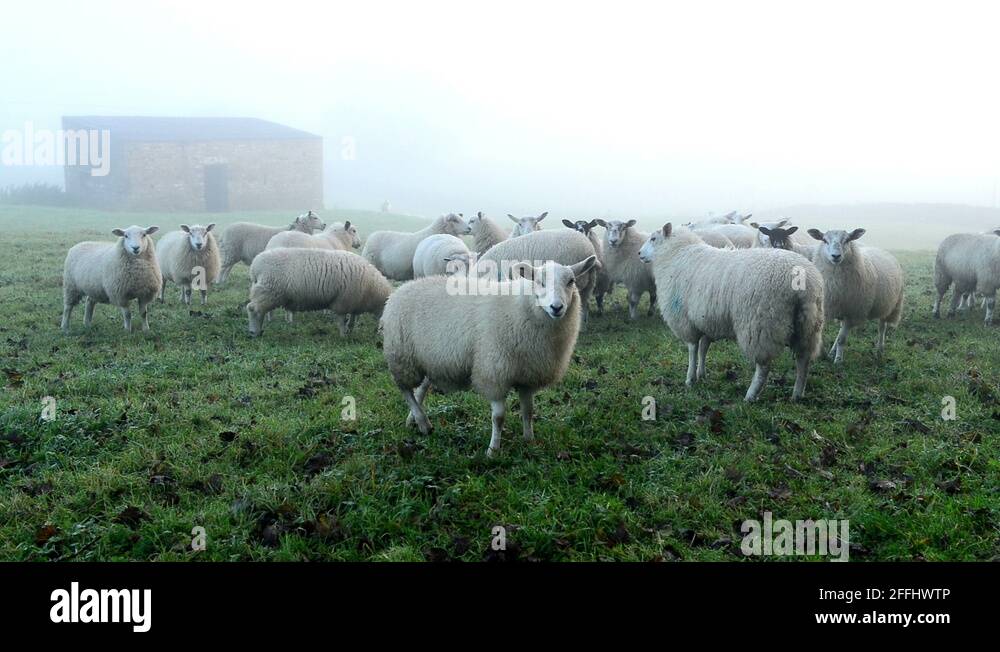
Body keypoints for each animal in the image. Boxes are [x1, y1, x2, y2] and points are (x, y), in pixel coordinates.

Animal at [246, 249, 392, 337]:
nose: (381, 335)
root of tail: (255, 266)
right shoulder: (343, 301)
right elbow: (341, 320)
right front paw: (343, 335)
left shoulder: (354, 302)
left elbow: (353, 318)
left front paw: (350, 330)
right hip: (268, 292)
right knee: (253, 309)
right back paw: (254, 331)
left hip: (267, 293)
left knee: (259, 311)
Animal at [381, 255, 598, 456]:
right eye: (539, 281)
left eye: (571, 281)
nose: (557, 307)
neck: (520, 308)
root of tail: (401, 289)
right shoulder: (494, 371)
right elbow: (499, 417)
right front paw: (493, 450)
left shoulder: (527, 374)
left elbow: (528, 411)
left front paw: (529, 440)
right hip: (401, 355)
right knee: (404, 389)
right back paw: (422, 422)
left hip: (430, 359)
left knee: (422, 386)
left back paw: (413, 420)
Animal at [639, 224, 825, 401]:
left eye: (653, 238)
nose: (639, 253)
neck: (676, 253)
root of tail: (803, 282)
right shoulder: (707, 319)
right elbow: (704, 347)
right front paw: (701, 374)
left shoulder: (685, 320)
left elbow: (693, 349)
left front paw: (690, 379)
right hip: (808, 325)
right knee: (803, 360)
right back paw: (797, 394)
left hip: (760, 324)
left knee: (764, 366)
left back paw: (750, 395)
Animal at [807, 228, 905, 363]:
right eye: (824, 240)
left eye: (847, 240)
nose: (836, 256)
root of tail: (881, 249)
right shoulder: (829, 308)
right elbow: (827, 335)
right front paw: (825, 354)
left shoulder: (852, 312)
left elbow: (842, 339)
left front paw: (838, 360)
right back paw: (832, 351)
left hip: (889, 305)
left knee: (882, 328)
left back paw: (879, 350)